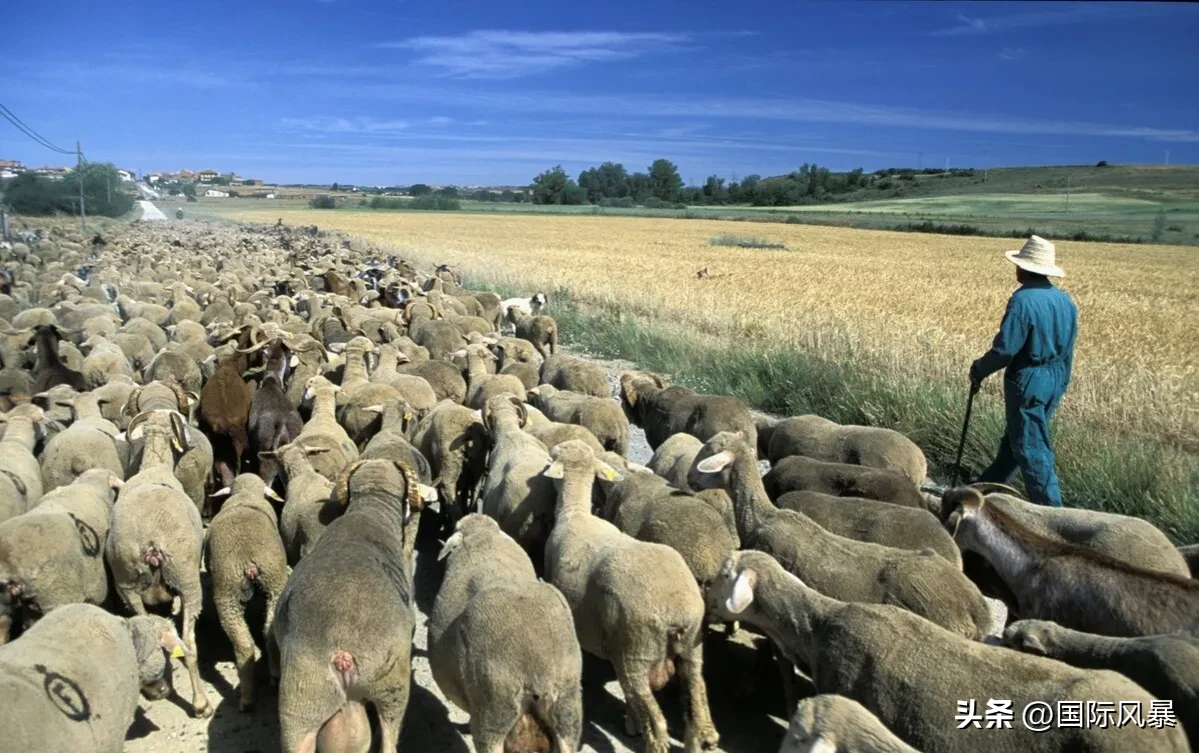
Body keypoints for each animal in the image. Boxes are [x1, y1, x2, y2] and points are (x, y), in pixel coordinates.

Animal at [105, 409, 211, 717]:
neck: (155, 465)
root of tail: (151, 541)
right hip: (187, 580)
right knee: (189, 643)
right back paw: (201, 704)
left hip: (127, 584)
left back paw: (156, 687)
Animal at [205, 473, 289, 711]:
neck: (245, 495)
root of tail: (248, 560)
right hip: (275, 583)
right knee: (269, 632)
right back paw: (274, 674)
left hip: (227, 593)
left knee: (244, 645)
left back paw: (247, 699)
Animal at [542, 440, 719, 753]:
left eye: (554, 455)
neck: (575, 511)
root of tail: (675, 612)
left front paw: (633, 723)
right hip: (691, 643)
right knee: (696, 691)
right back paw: (702, 737)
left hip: (635, 648)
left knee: (651, 711)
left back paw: (653, 740)